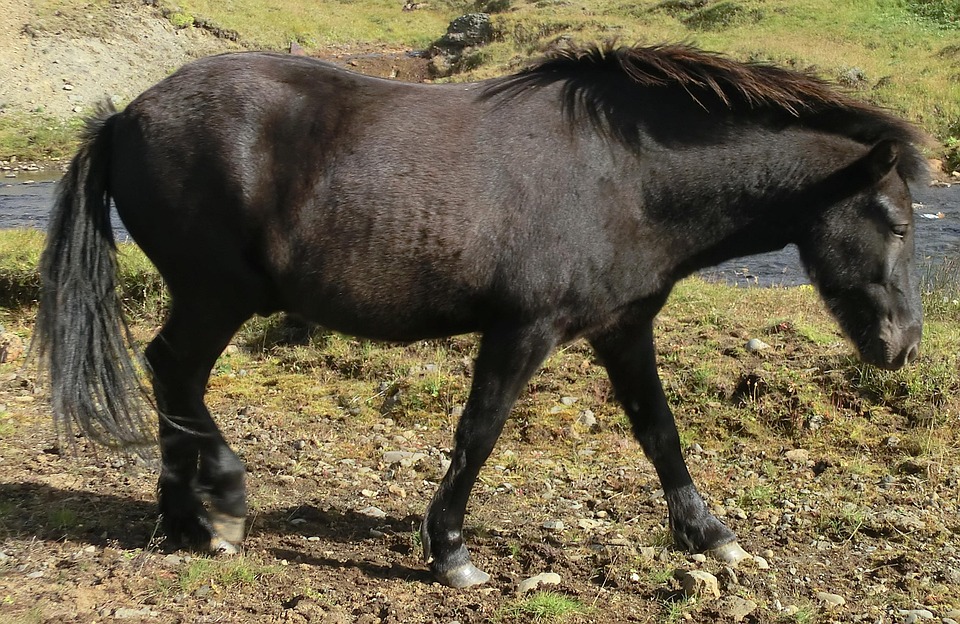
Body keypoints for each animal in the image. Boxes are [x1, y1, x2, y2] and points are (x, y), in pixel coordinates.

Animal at [35, 42, 927, 588]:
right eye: (896, 221)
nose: (903, 345)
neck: (625, 177)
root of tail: (124, 116)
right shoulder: (523, 330)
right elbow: (480, 435)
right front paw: (451, 553)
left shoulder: (623, 328)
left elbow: (660, 433)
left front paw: (711, 535)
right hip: (217, 295)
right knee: (175, 371)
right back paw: (217, 506)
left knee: (170, 374)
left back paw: (180, 514)